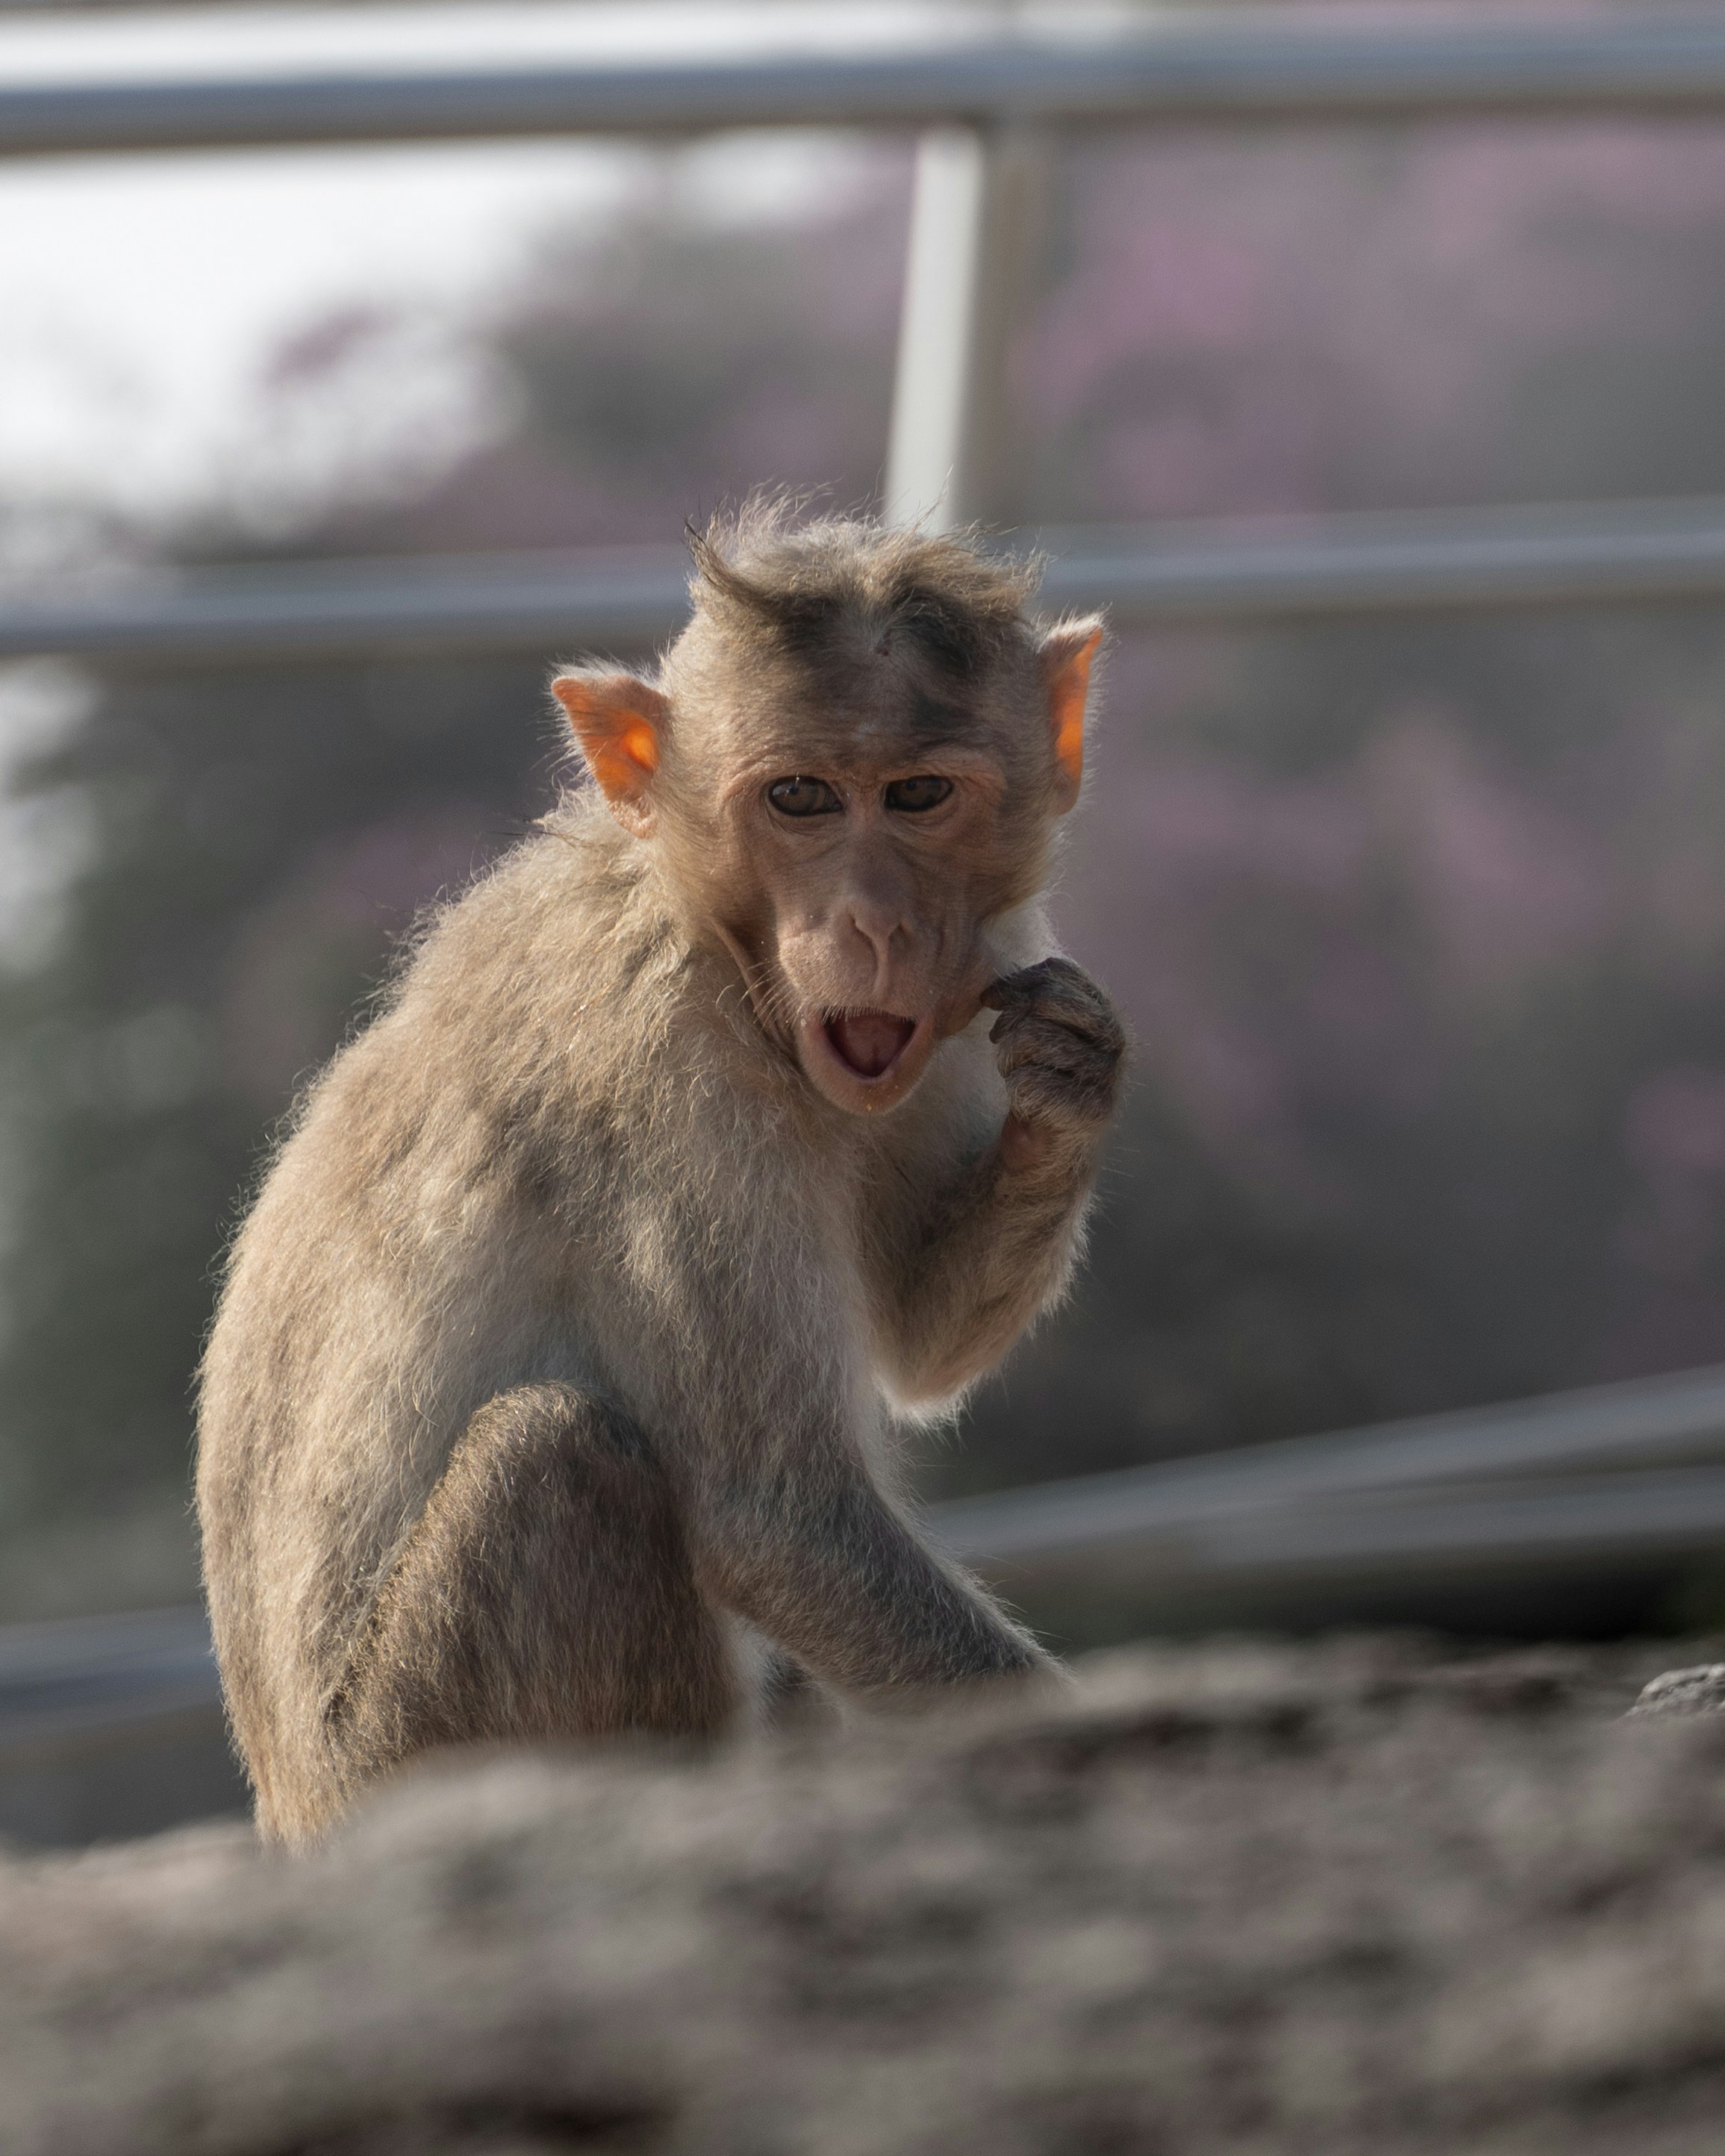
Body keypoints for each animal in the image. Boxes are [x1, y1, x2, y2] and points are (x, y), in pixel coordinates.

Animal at [195, 508, 1125, 1846]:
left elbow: (915, 1346)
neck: (720, 947)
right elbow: (775, 1521)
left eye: (918, 795)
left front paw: (1069, 1086)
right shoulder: (665, 1089)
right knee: (562, 1457)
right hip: (402, 1747)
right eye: (798, 797)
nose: (873, 925)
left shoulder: (980, 970)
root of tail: (293, 1812)